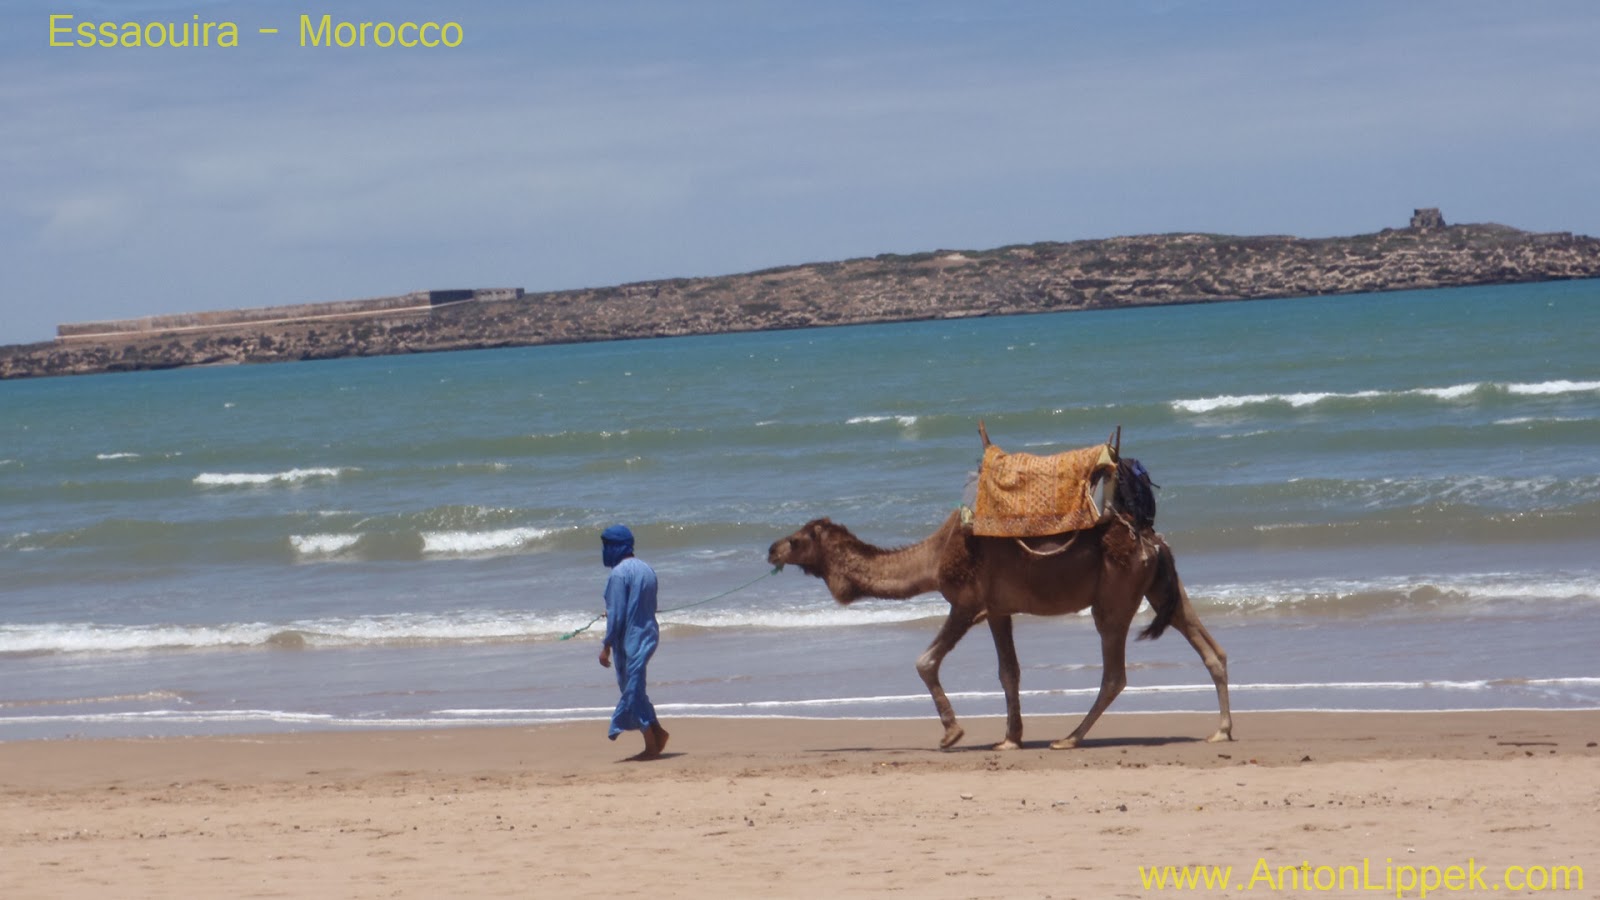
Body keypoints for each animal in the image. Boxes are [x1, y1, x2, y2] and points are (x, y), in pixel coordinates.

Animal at [766, 508, 1232, 751]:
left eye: (797, 539)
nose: (770, 548)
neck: (933, 559)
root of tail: (1154, 541)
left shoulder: (968, 602)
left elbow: (926, 661)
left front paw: (953, 733)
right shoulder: (997, 610)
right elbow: (1009, 672)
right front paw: (1011, 738)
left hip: (1115, 598)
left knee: (1115, 673)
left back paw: (1069, 738)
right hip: (1160, 588)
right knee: (1210, 646)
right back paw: (1221, 729)